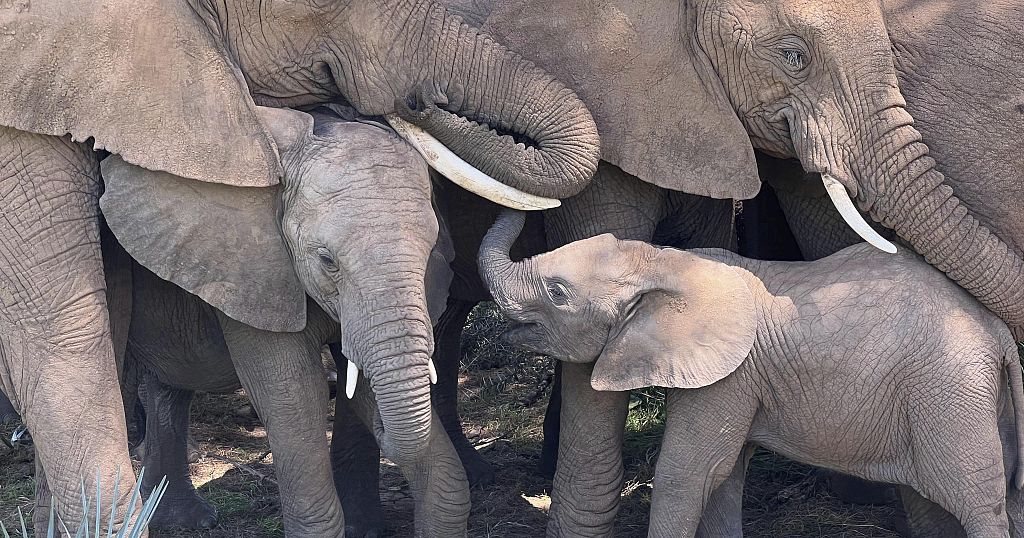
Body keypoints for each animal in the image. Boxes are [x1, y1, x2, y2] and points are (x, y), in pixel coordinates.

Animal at [99, 105, 469, 537]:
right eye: (326, 260)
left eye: (431, 251)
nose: (382, 430)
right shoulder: (251, 272)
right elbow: (294, 389)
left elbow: (360, 383)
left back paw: (187, 521)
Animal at [479, 209, 1024, 537]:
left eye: (557, 294)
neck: (664, 262)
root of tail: (996, 330)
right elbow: (723, 480)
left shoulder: (726, 378)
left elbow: (688, 473)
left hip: (949, 391)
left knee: (979, 499)